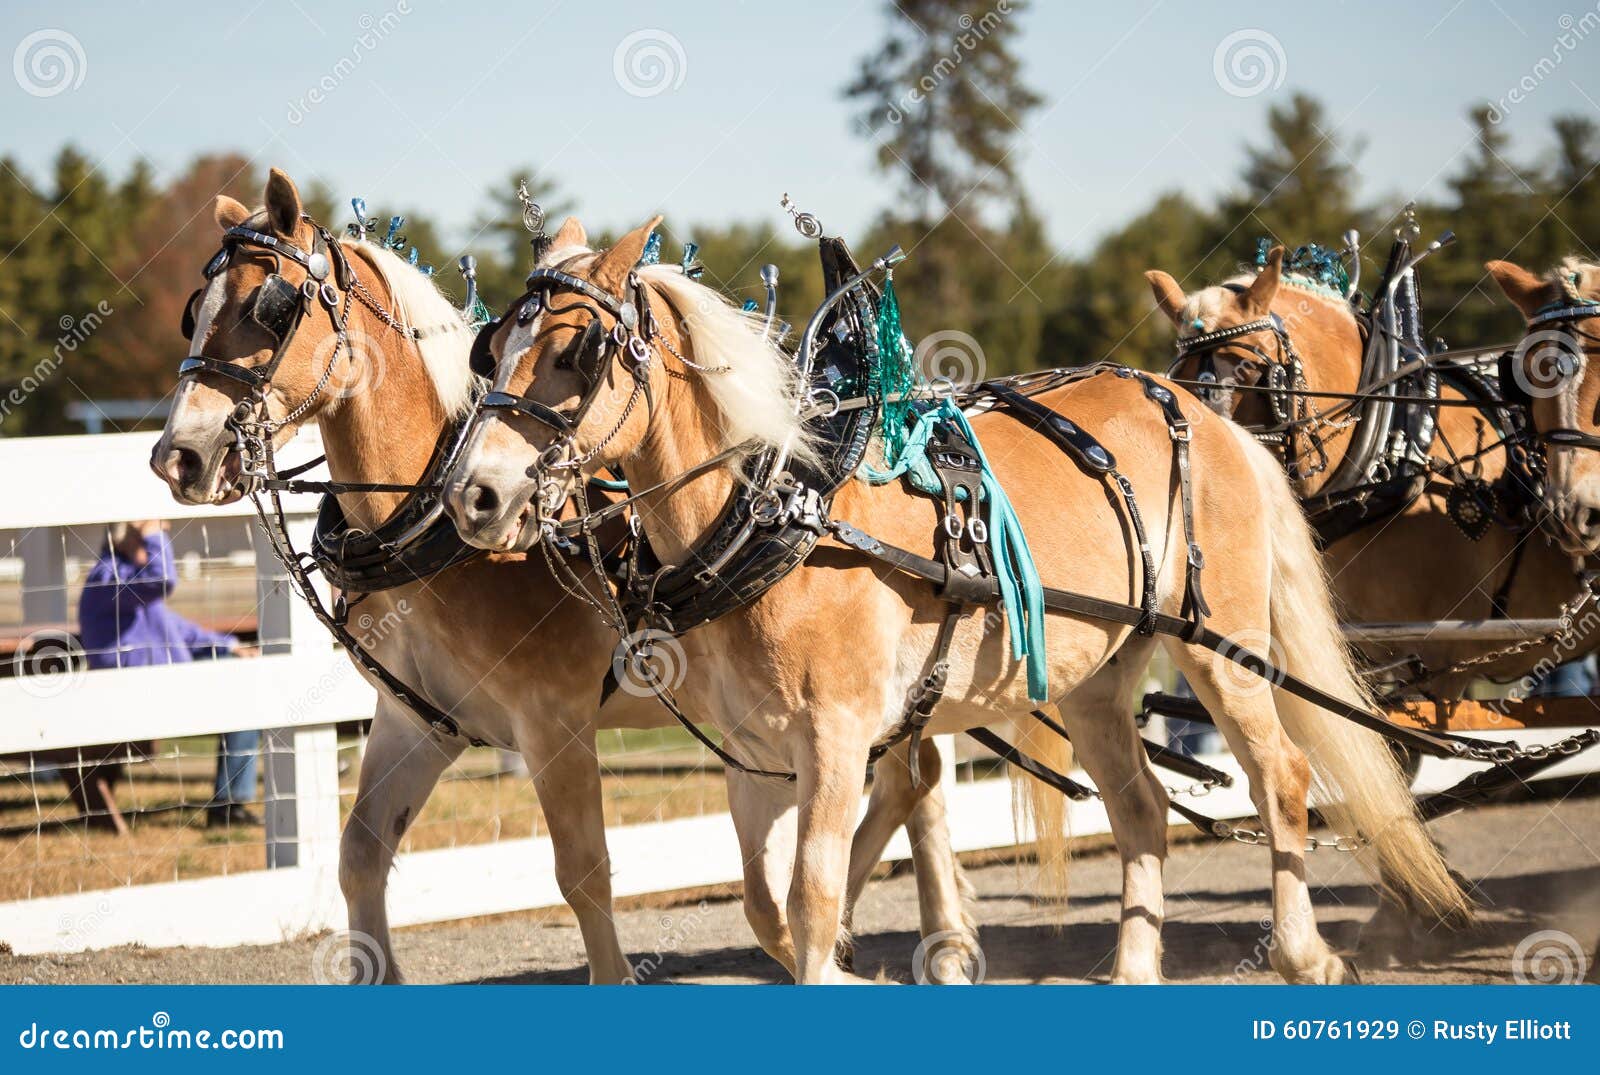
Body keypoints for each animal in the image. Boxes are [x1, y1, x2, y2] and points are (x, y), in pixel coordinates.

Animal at [148, 170, 979, 984]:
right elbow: (361, 853)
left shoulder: (554, 720)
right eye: (195, 310)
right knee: (919, 774)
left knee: (909, 778)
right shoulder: (420, 720)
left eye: (269, 308)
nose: (176, 456)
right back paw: (932, 942)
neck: (430, 522)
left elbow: (583, 872)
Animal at [442, 214, 1468, 984]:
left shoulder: (837, 735)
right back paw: (1135, 969)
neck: (779, 510)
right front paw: (853, 965)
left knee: (1282, 777)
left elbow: (812, 895)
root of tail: (1210, 420)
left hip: (1223, 643)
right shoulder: (752, 750)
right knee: (1140, 809)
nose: (475, 497)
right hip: (1098, 676)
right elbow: (769, 905)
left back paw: (1303, 953)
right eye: (492, 348)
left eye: (576, 350)